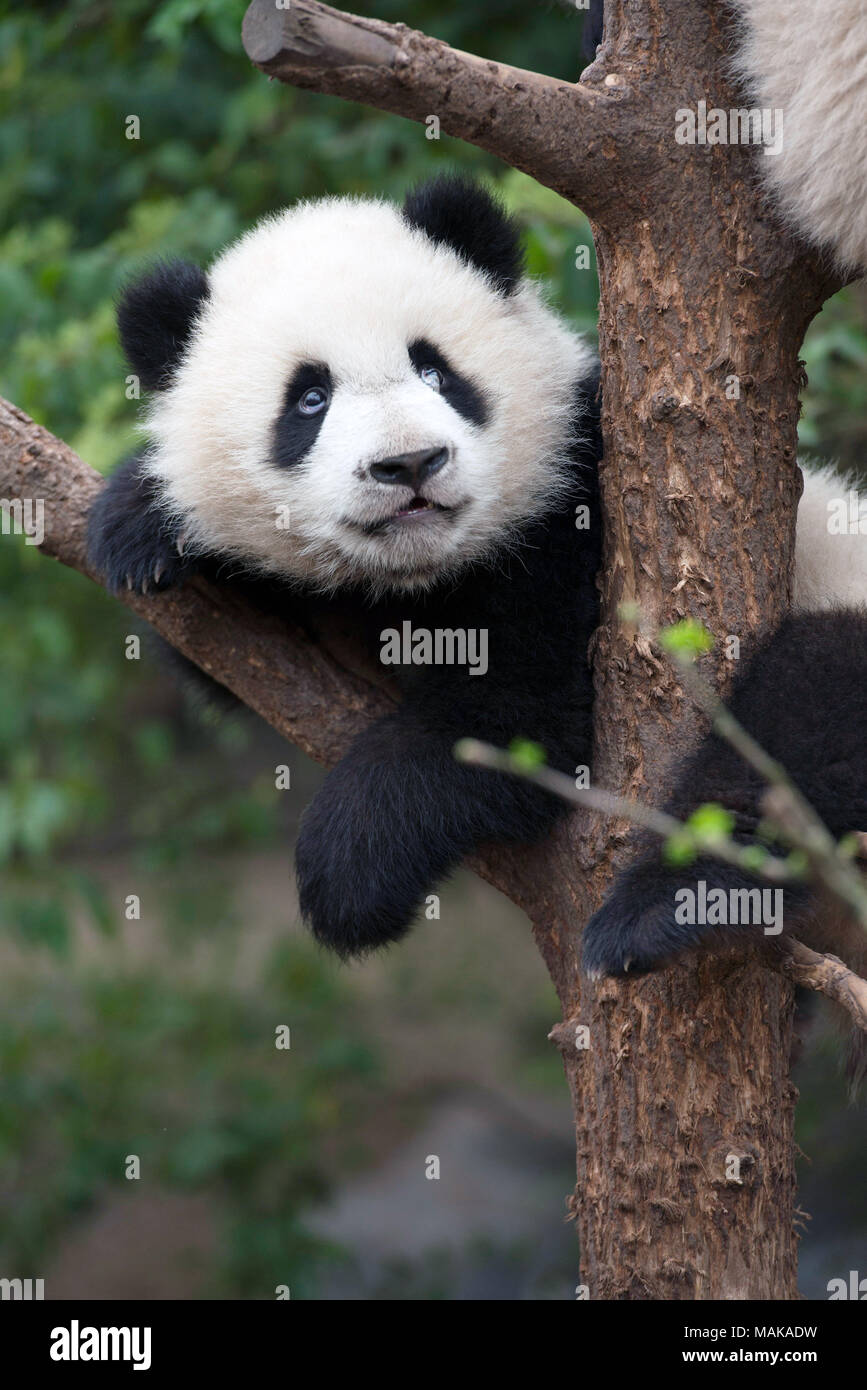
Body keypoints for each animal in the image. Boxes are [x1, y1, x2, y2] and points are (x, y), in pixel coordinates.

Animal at [87, 173, 866, 977]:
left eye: (435, 369)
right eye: (309, 398)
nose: (409, 463)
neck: (419, 573)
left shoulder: (570, 517)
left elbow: (515, 720)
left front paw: (348, 870)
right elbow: (233, 654)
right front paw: (141, 525)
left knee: (801, 724)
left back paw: (668, 907)